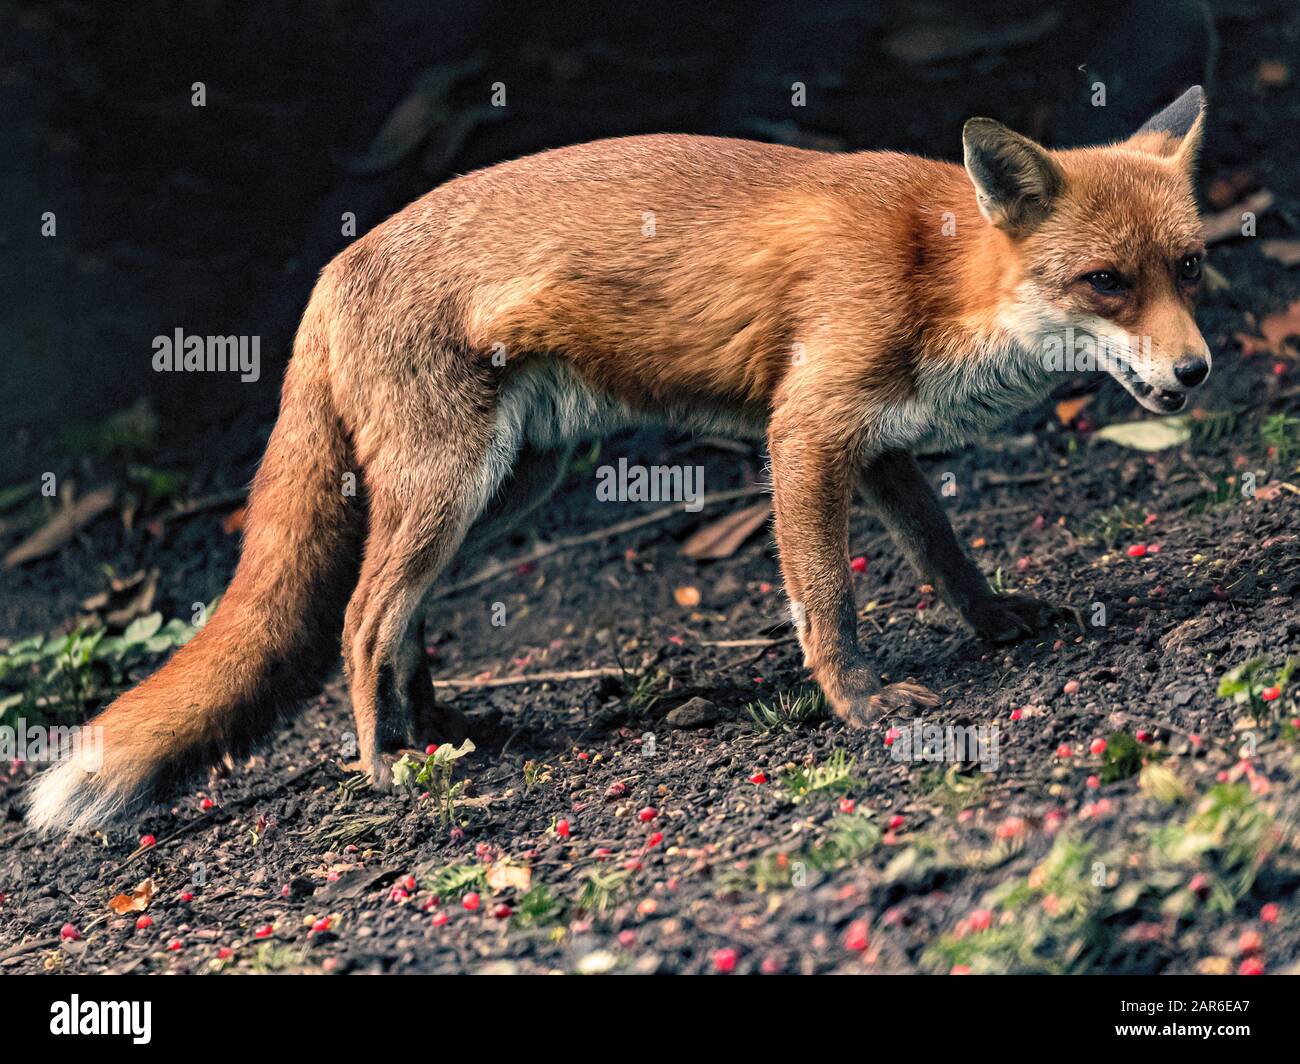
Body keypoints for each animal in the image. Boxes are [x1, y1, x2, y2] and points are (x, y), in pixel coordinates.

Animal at [27, 87, 1212, 834]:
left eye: (1190, 268)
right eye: (1106, 281)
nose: (1197, 371)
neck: (939, 269)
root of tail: (329, 272)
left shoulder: (874, 444)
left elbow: (944, 553)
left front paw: (999, 621)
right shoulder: (807, 429)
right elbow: (826, 597)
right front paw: (864, 704)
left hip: (507, 484)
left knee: (402, 615)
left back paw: (444, 725)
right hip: (451, 481)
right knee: (361, 620)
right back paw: (387, 767)